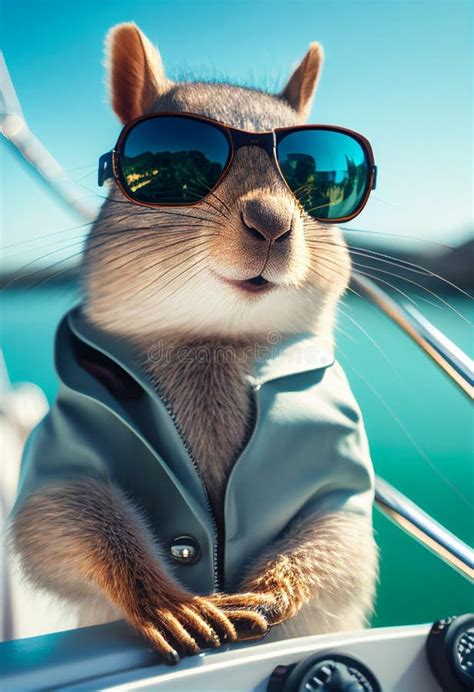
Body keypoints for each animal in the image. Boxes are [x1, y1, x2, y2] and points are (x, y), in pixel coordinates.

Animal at [11, 23, 378, 664]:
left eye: (318, 180)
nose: (272, 222)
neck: (212, 340)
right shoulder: (61, 456)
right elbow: (68, 519)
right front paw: (169, 605)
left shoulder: (340, 478)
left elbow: (337, 539)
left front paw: (271, 593)